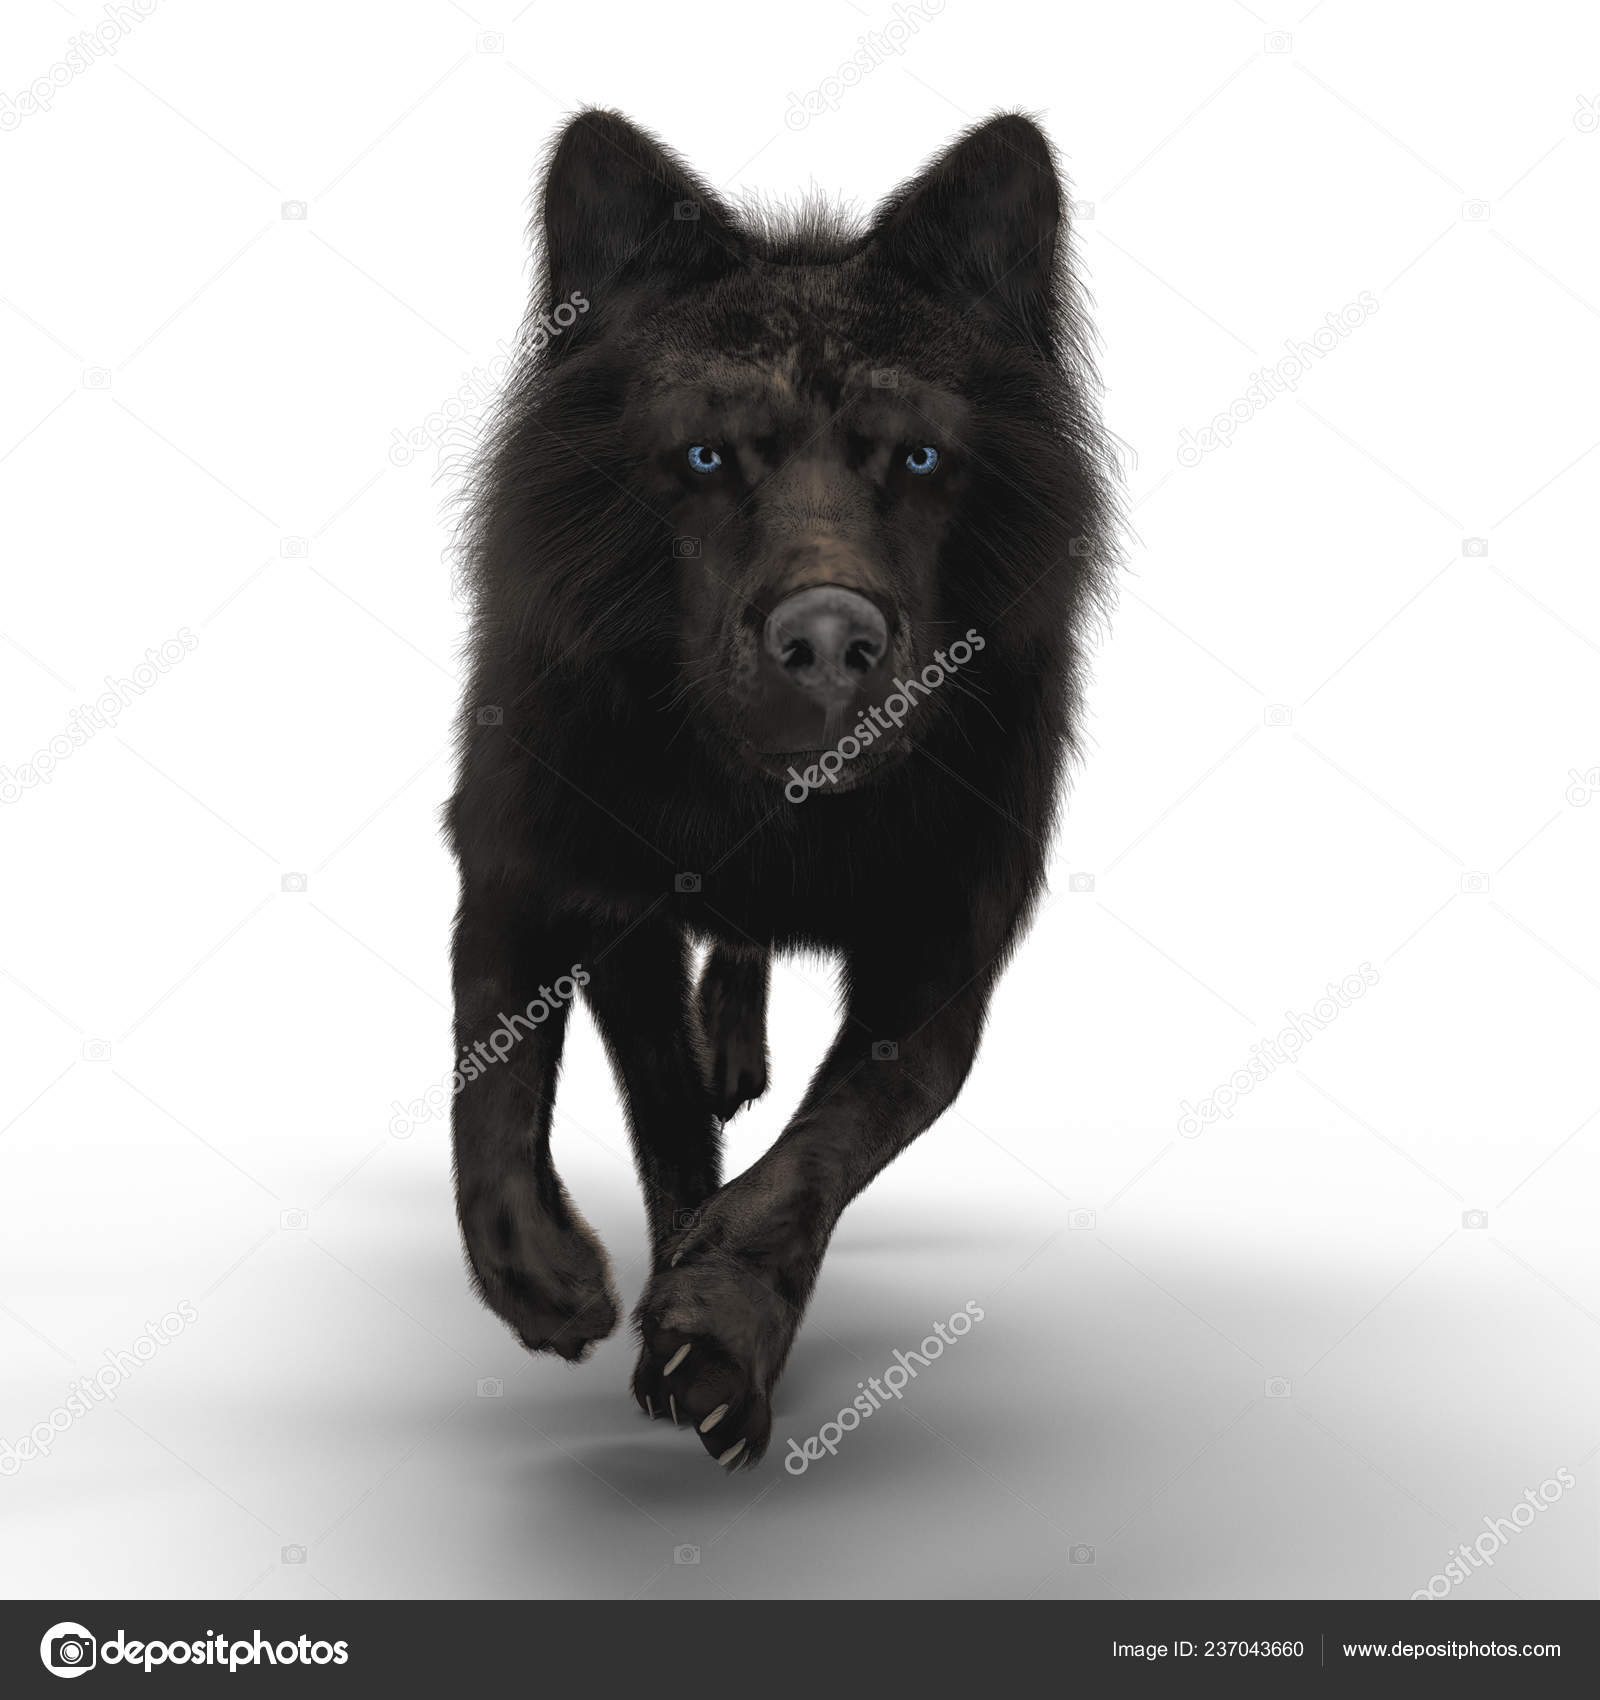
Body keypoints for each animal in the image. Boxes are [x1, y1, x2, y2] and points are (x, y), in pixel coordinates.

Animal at [447, 107, 1115, 1469]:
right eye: (705, 454)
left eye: (918, 455)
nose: (826, 640)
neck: (761, 817)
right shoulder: (544, 872)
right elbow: (507, 1087)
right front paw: (558, 1281)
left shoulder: (938, 956)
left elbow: (822, 1148)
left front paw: (714, 1335)